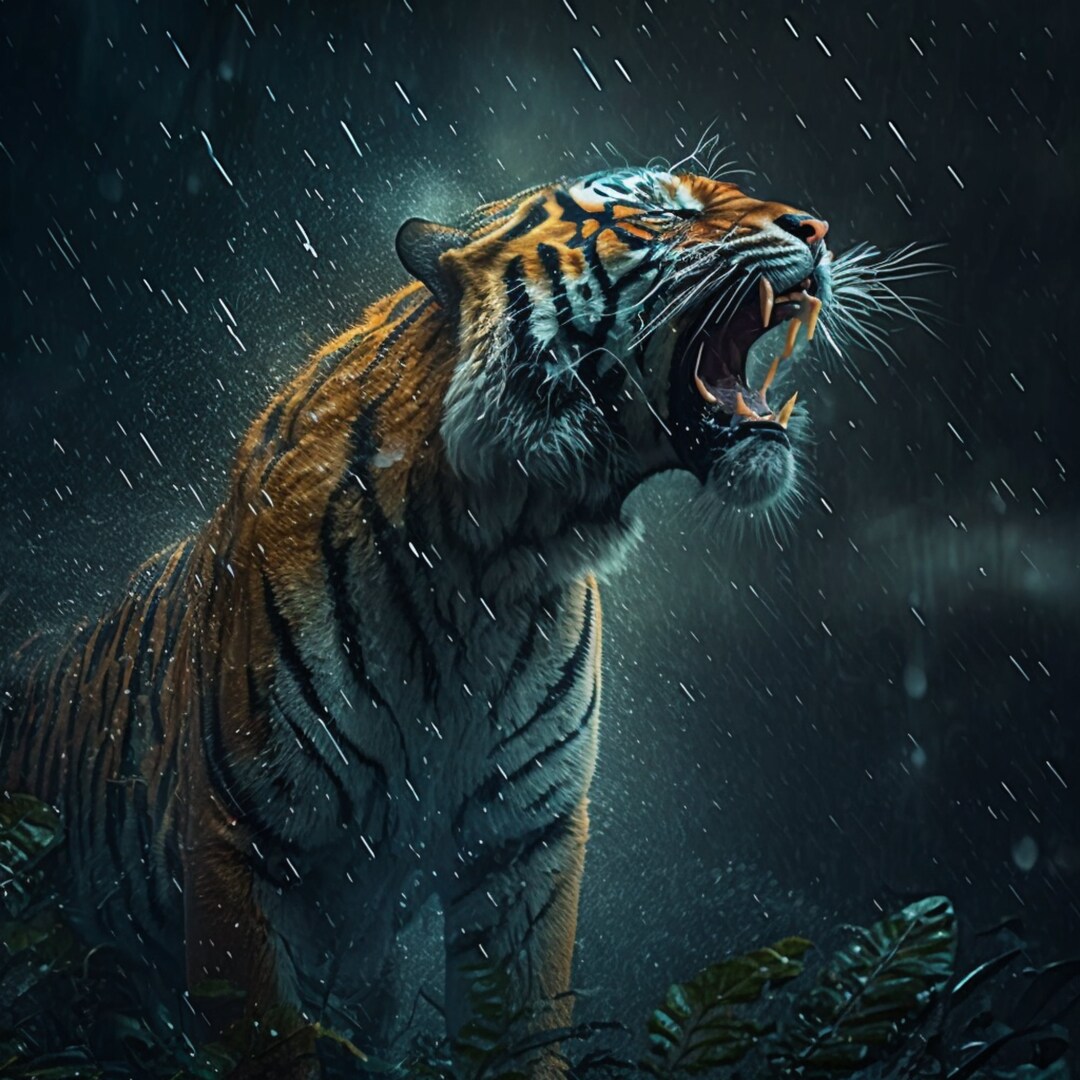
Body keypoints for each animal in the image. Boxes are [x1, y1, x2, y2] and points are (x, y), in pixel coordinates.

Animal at [1, 163, 913, 1076]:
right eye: (656, 208)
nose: (818, 229)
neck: (496, 548)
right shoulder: (241, 841)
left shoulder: (524, 840)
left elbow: (523, 1027)